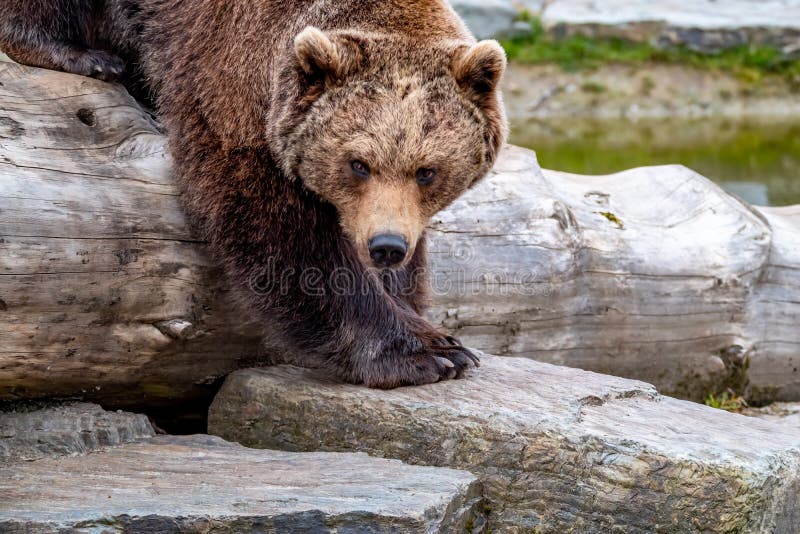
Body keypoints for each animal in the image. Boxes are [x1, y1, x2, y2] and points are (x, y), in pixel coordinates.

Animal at [0, 0, 507, 388]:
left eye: (427, 171)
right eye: (358, 163)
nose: (386, 246)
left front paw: (438, 335)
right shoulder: (231, 85)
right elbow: (286, 235)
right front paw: (417, 354)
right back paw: (81, 55)